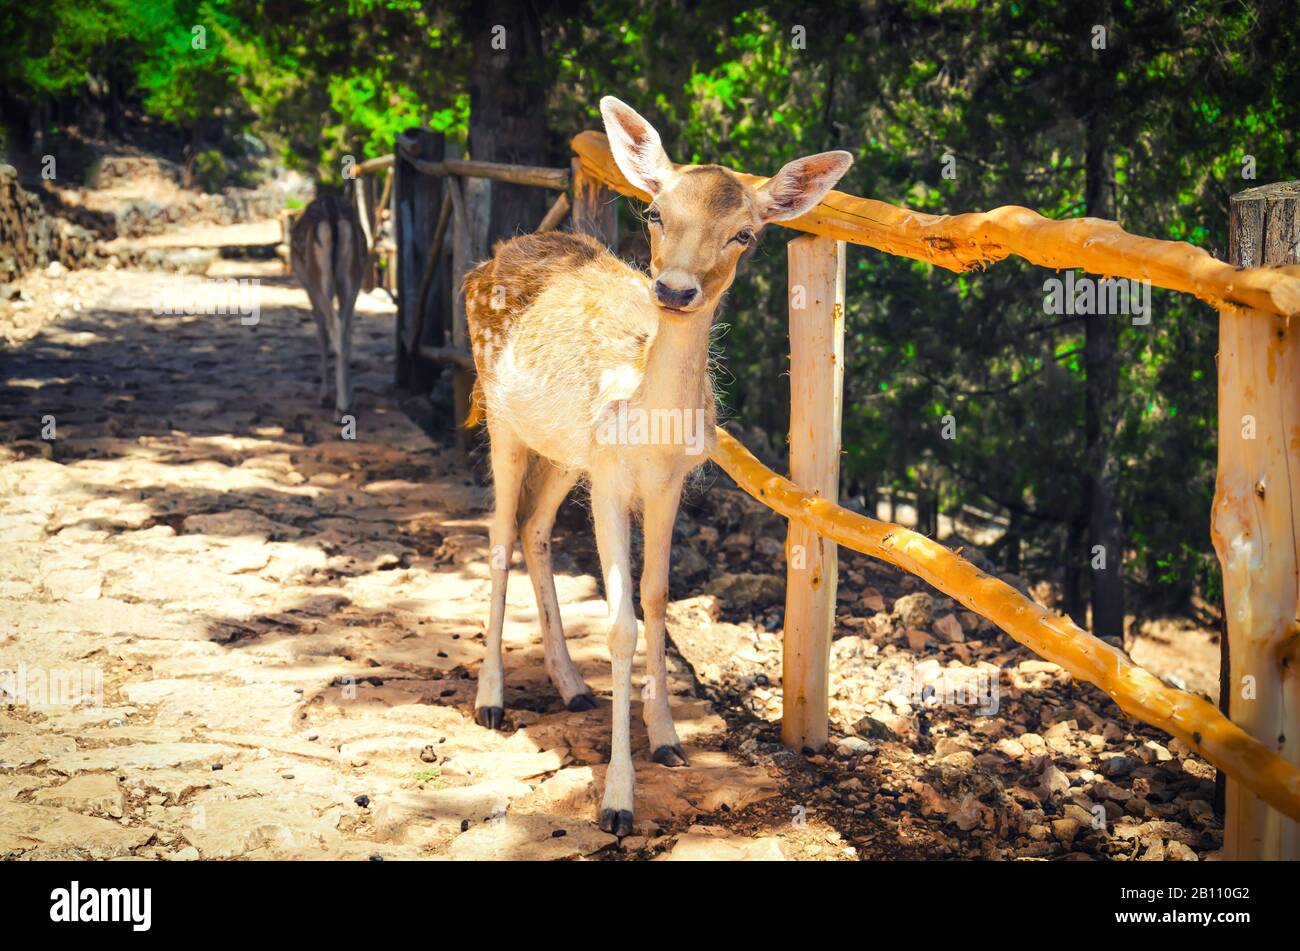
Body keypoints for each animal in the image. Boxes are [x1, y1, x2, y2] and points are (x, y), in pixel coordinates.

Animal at [290, 190, 368, 419]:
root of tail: (333, 211)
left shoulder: (308, 288)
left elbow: (321, 334)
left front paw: (324, 395)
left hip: (318, 278)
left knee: (333, 328)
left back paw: (339, 407)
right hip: (353, 277)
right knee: (345, 331)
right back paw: (347, 402)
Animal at [463, 97, 851, 836]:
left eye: (744, 235)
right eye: (654, 212)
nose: (673, 290)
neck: (653, 425)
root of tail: (487, 262)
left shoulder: (666, 481)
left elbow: (655, 598)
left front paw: (668, 738)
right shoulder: (613, 480)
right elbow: (619, 622)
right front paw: (618, 799)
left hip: (565, 450)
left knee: (533, 526)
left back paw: (572, 685)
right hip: (502, 418)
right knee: (496, 534)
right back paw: (490, 697)